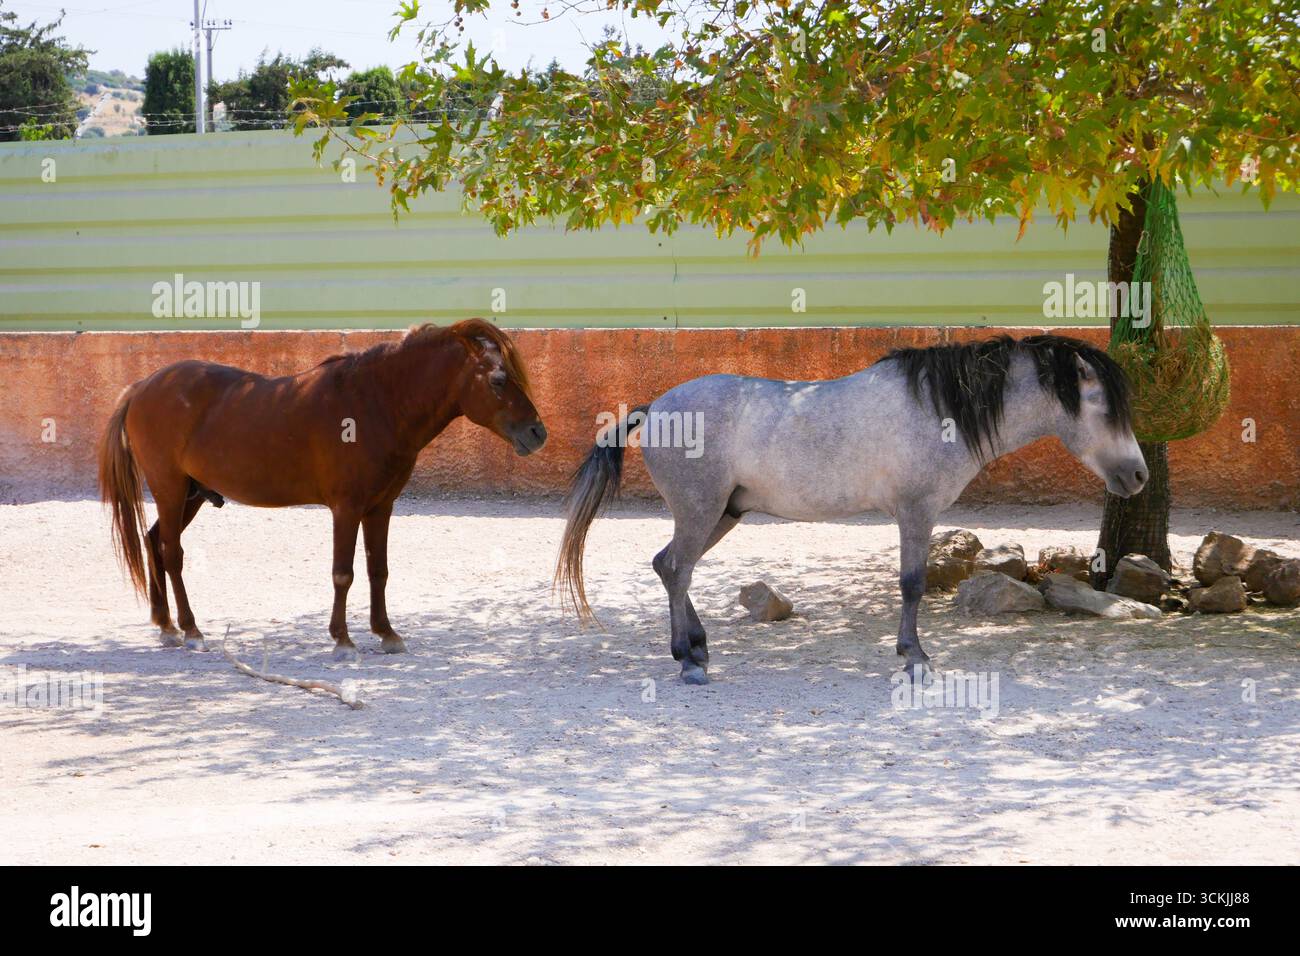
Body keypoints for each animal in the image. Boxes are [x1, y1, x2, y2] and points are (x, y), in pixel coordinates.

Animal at [98, 318, 546, 660]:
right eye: (499, 379)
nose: (537, 432)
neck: (375, 403)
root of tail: (143, 386)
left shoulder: (380, 507)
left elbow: (378, 570)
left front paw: (386, 633)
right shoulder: (346, 508)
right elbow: (343, 573)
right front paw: (343, 640)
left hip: (189, 495)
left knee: (154, 542)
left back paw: (165, 625)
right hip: (170, 488)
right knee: (171, 552)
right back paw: (190, 629)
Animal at [555, 334, 1147, 685]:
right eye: (1101, 406)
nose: (1138, 475)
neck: (941, 410)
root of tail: (656, 407)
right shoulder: (915, 512)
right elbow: (912, 584)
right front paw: (915, 657)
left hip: (722, 513)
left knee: (669, 566)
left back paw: (697, 649)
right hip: (700, 510)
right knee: (678, 569)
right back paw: (688, 661)